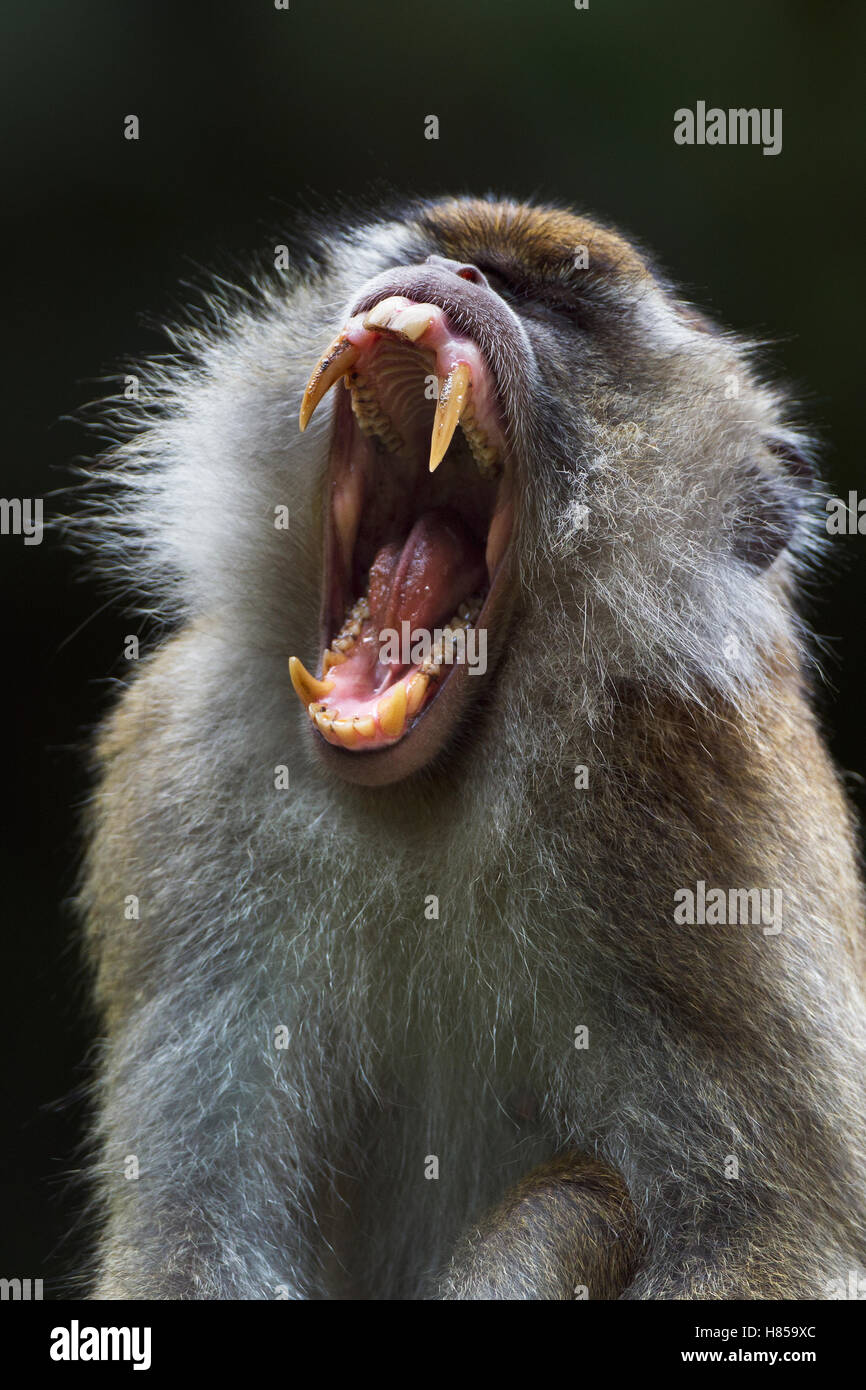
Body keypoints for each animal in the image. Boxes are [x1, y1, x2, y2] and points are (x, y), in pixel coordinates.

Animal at [77, 195, 866, 1300]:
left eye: (556, 304)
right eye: (434, 247)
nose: (461, 275)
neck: (435, 790)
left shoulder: (713, 802)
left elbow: (770, 1232)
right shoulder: (186, 766)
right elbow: (190, 1228)